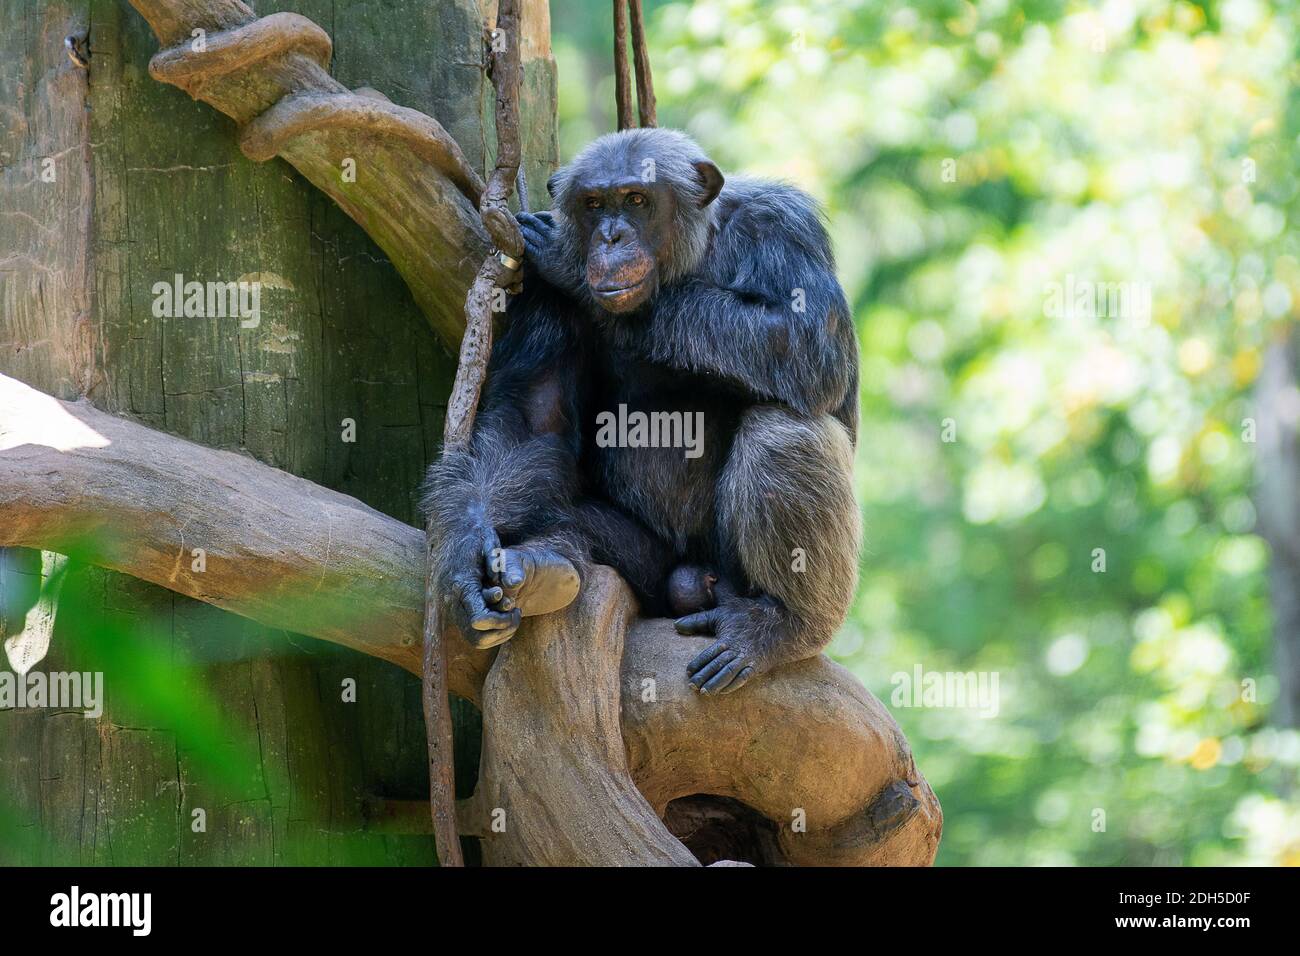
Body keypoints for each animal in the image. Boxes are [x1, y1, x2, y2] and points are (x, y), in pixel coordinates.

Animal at [424, 127, 860, 696]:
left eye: (636, 199)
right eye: (594, 204)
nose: (610, 237)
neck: (693, 254)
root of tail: (692, 580)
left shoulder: (784, 226)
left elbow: (808, 341)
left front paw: (567, 264)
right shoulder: (536, 294)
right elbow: (530, 421)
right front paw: (466, 560)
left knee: (784, 430)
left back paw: (780, 624)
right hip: (653, 576)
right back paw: (538, 567)